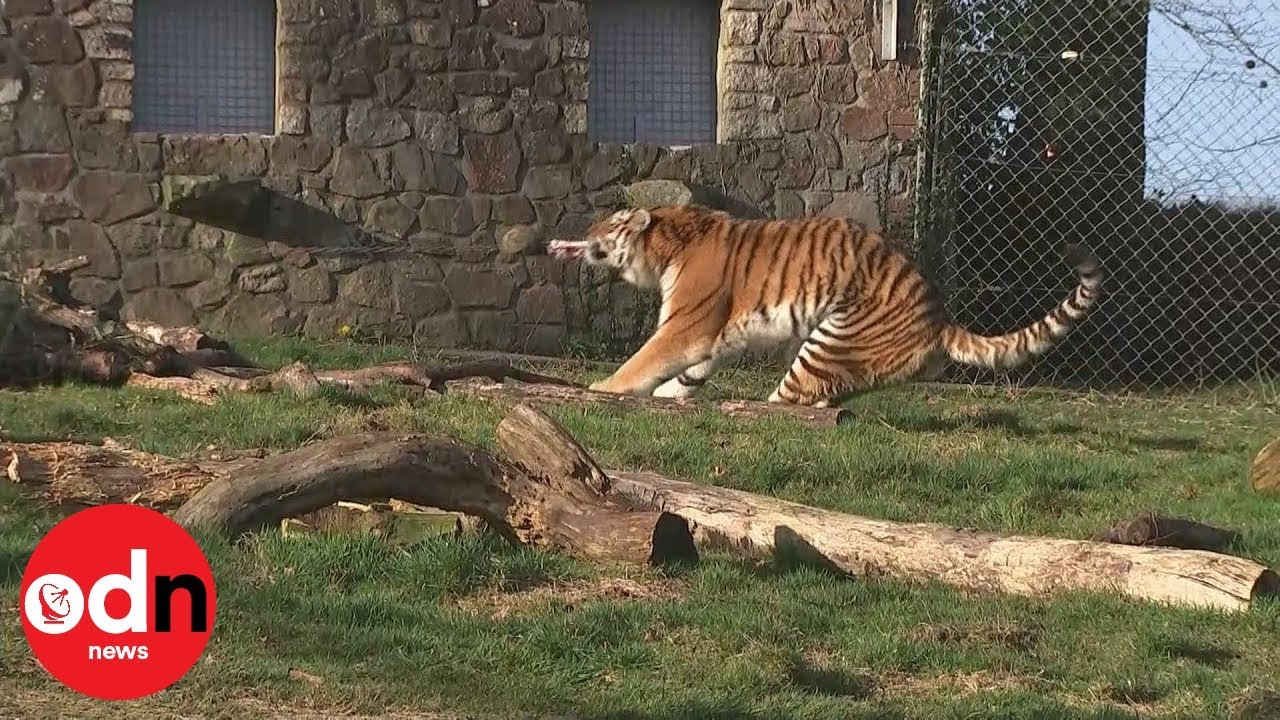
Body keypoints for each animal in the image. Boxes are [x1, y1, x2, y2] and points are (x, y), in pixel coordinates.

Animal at [547, 205, 1103, 408]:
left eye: (612, 221)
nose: (586, 231)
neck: (673, 241)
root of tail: (941, 316)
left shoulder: (686, 325)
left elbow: (644, 360)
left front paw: (604, 387)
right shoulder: (715, 336)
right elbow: (691, 372)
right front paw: (669, 395)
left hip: (830, 341)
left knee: (794, 399)